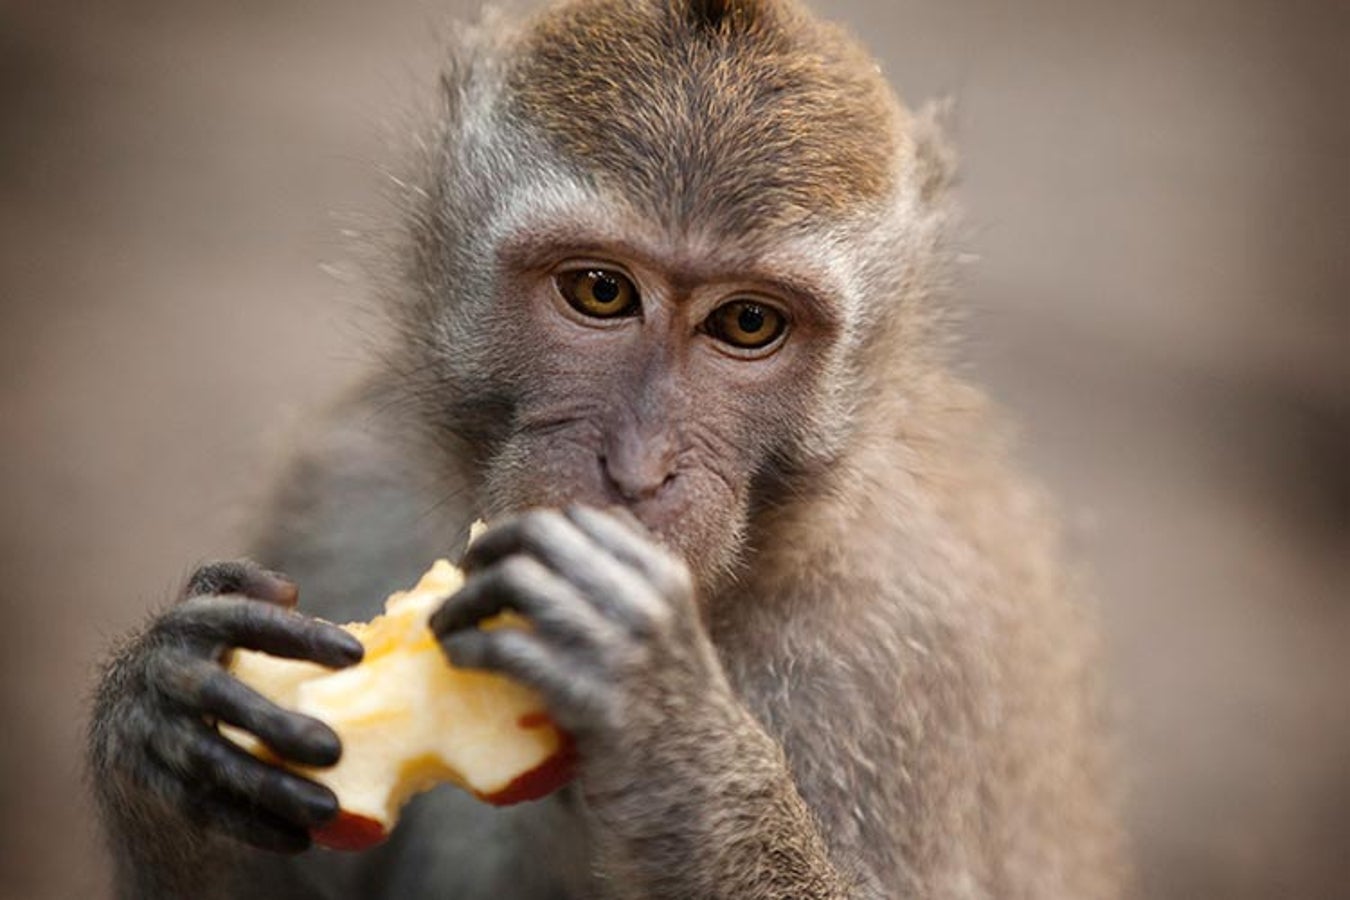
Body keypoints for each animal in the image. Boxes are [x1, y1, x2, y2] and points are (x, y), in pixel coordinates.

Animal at [86, 0, 1126, 897]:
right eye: (600, 292)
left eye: (748, 323)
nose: (636, 470)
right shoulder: (344, 484)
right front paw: (162, 710)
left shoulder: (898, 645)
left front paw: (668, 726)